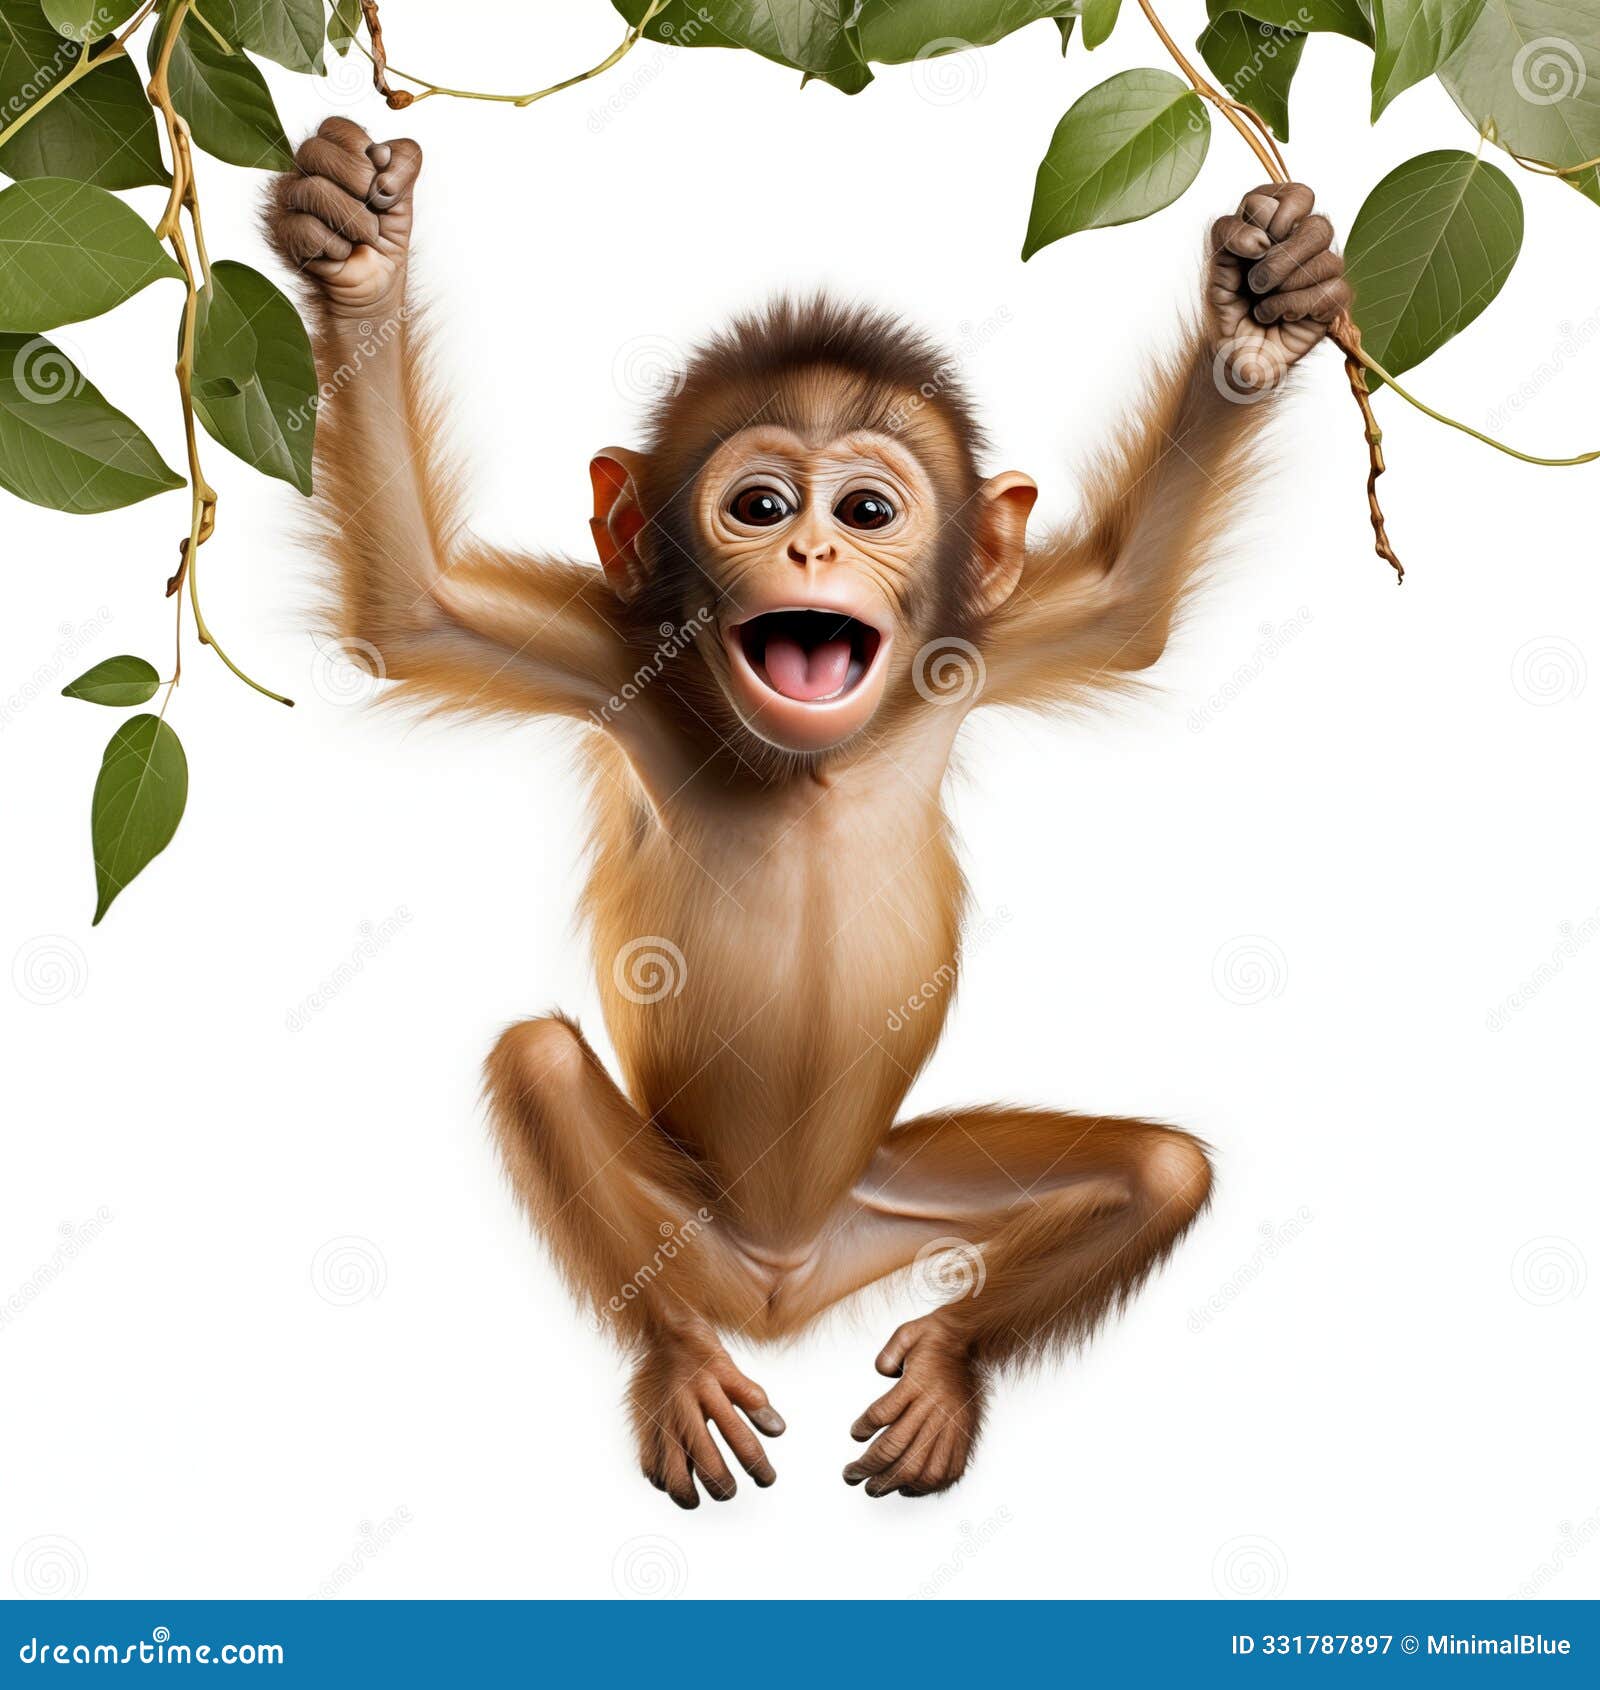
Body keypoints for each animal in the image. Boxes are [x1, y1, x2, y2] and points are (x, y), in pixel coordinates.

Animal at [266, 119, 1352, 1506]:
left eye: (869, 511)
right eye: (763, 506)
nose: (814, 554)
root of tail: (782, 1281)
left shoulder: (973, 651)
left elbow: (1125, 601)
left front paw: (1260, 313)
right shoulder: (609, 658)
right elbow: (415, 610)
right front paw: (354, 253)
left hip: (889, 1205)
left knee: (1156, 1170)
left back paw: (948, 1358)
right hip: (690, 1235)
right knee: (542, 1067)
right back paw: (679, 1354)